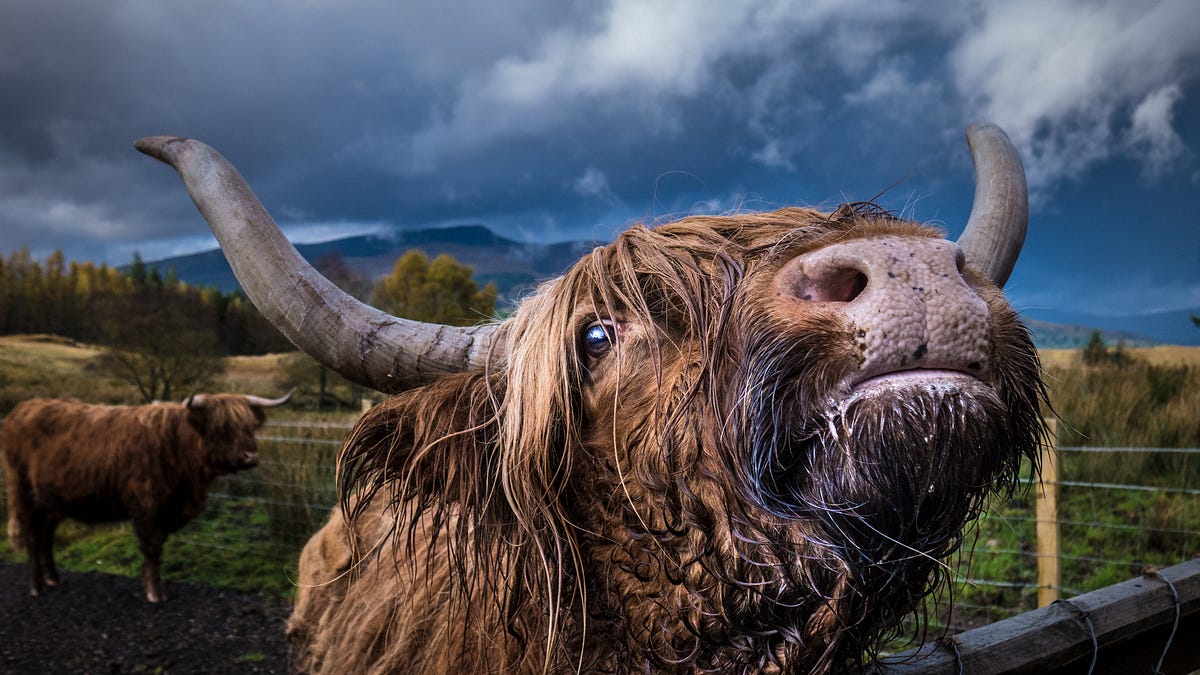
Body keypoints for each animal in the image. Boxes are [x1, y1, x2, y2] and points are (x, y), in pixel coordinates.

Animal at [3, 392, 290, 602]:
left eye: (250, 427)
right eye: (221, 427)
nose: (251, 456)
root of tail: (21, 409)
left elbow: (158, 548)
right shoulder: (145, 506)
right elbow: (151, 547)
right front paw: (155, 593)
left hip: (53, 502)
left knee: (45, 535)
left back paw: (52, 577)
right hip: (25, 492)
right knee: (31, 536)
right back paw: (36, 586)